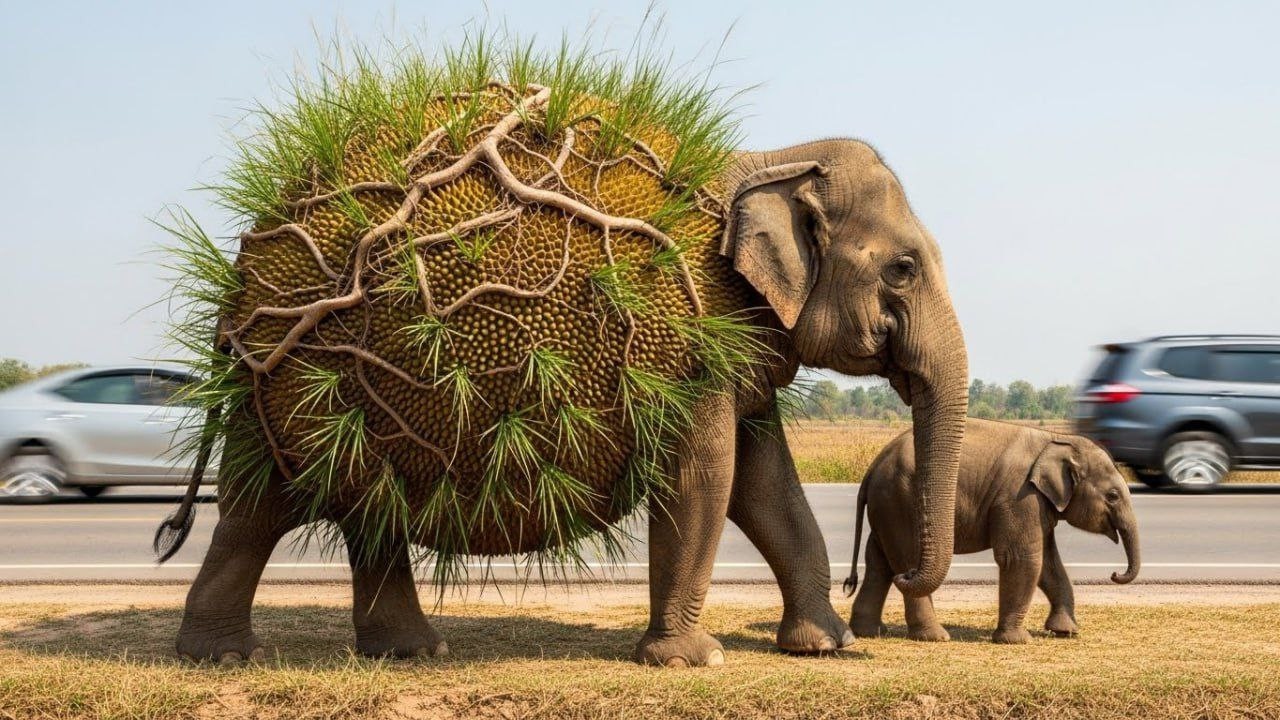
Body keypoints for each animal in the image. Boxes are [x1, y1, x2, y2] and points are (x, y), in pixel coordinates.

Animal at [169, 138, 969, 667]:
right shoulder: (686, 339)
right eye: (903, 268)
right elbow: (705, 476)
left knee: (371, 507)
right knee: (256, 509)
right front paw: (691, 661)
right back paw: (220, 658)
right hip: (285, 382)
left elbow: (764, 486)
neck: (770, 157)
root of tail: (237, 276)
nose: (885, 572)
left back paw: (412, 653)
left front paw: (824, 647)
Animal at [846, 418, 1140, 644]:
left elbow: (1048, 562)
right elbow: (1021, 558)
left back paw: (870, 632)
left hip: (887, 506)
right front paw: (1017, 641)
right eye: (1113, 496)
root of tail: (872, 468)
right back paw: (935, 636)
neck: (1057, 440)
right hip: (900, 502)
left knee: (879, 562)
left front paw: (1065, 632)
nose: (1115, 574)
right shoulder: (1020, 498)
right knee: (905, 558)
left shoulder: (1039, 503)